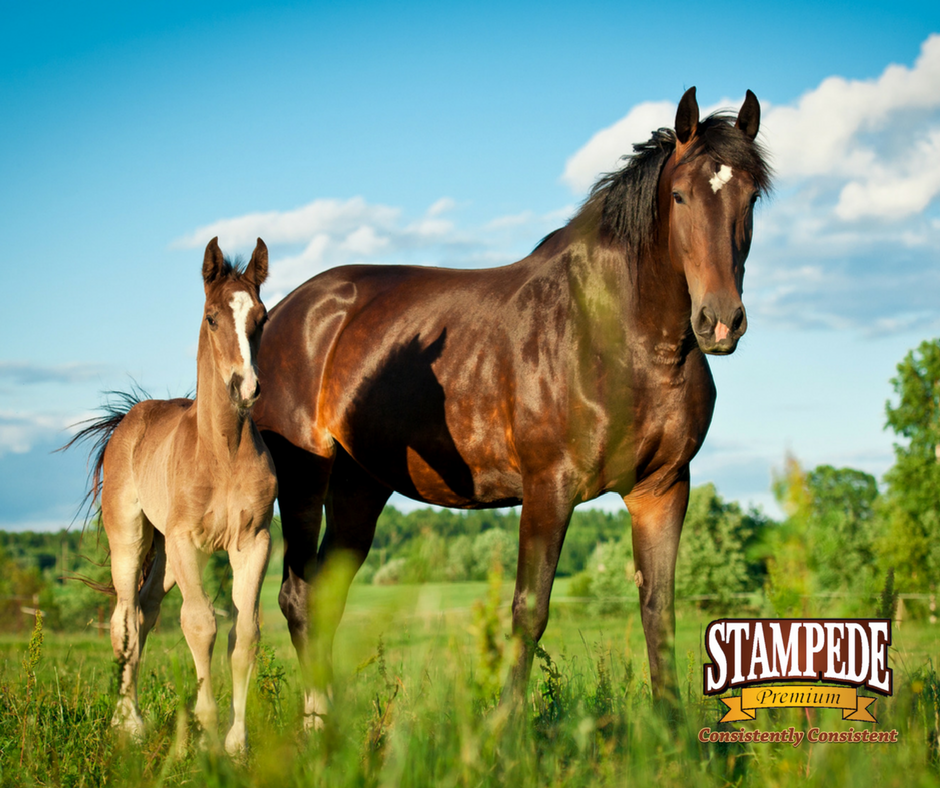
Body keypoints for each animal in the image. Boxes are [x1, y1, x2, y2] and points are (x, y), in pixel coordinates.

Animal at [67, 238, 277, 752]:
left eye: (261, 316)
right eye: (212, 317)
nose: (246, 386)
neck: (222, 454)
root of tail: (129, 418)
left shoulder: (253, 542)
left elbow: (244, 633)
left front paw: (236, 742)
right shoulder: (187, 541)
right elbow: (199, 624)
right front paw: (204, 731)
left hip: (163, 554)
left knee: (144, 611)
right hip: (132, 538)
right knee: (124, 619)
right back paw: (128, 723)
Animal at [253, 87, 771, 725]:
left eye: (751, 197)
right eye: (679, 195)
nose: (720, 321)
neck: (616, 336)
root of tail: (288, 313)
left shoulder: (664, 488)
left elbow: (660, 611)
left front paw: (670, 730)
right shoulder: (549, 488)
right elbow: (530, 610)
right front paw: (505, 729)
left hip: (361, 486)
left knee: (326, 596)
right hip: (305, 479)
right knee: (298, 596)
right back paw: (317, 722)